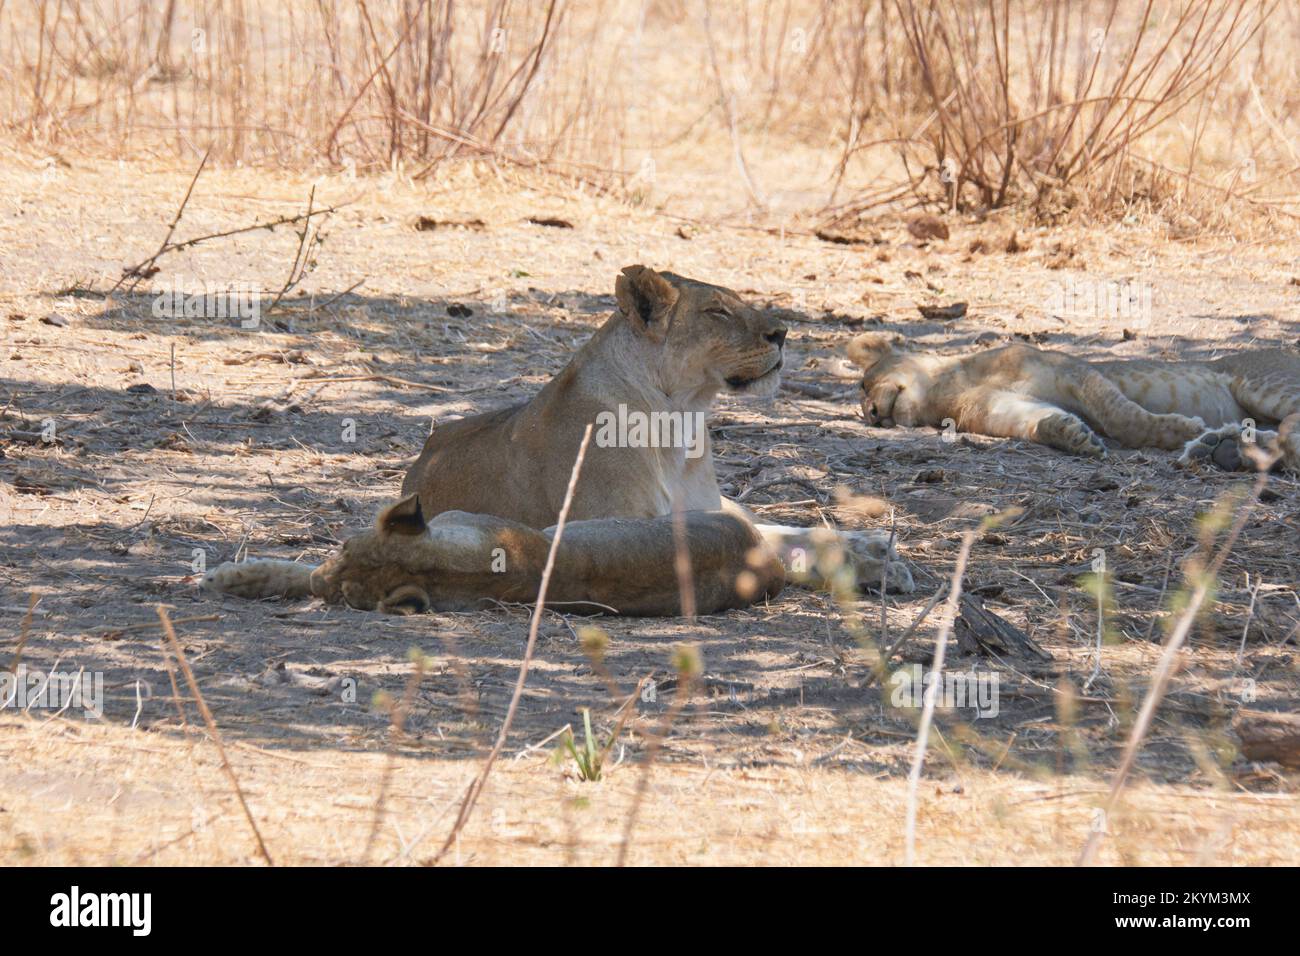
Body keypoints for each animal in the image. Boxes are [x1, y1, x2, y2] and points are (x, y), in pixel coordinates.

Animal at [203, 266, 914, 616]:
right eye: (717, 311)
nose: (783, 333)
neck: (681, 418)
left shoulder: (710, 516)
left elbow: (798, 539)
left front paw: (880, 559)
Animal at [847, 333, 1299, 471]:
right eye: (862, 404)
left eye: (866, 384)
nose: (873, 416)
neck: (947, 385)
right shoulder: (999, 410)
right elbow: (1035, 422)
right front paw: (1071, 435)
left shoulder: (1074, 372)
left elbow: (1123, 417)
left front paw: (1182, 429)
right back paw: (1224, 449)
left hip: (1263, 385)